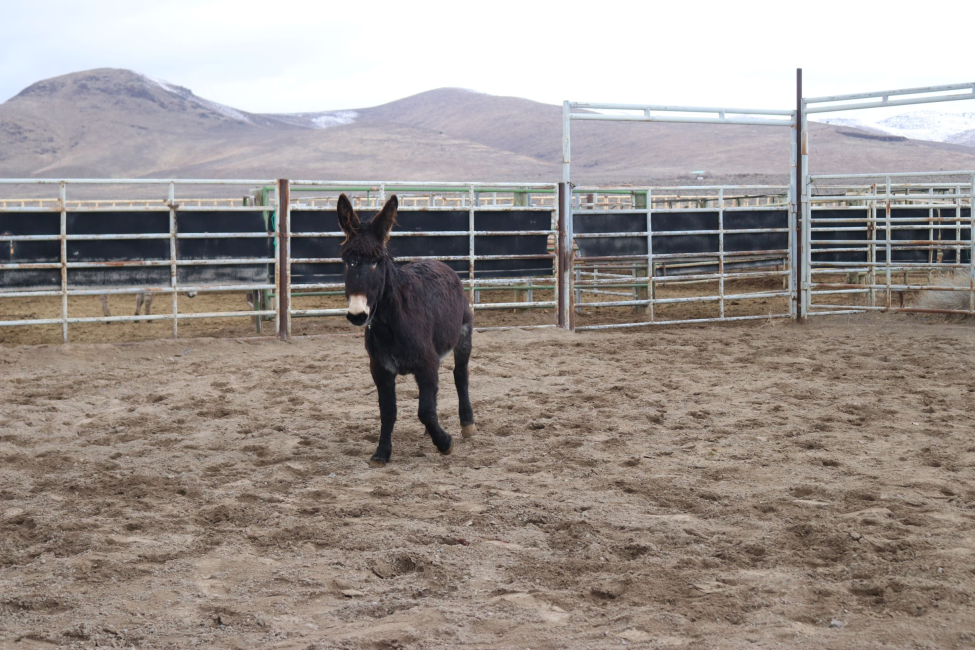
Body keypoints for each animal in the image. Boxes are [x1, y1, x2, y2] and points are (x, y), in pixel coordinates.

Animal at [338, 193, 475, 467]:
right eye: (347, 261)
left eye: (375, 261)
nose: (357, 314)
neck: (390, 326)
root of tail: (436, 262)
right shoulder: (380, 369)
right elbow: (388, 411)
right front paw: (381, 453)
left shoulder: (427, 364)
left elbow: (425, 411)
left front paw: (445, 443)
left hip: (464, 335)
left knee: (460, 376)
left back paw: (467, 423)